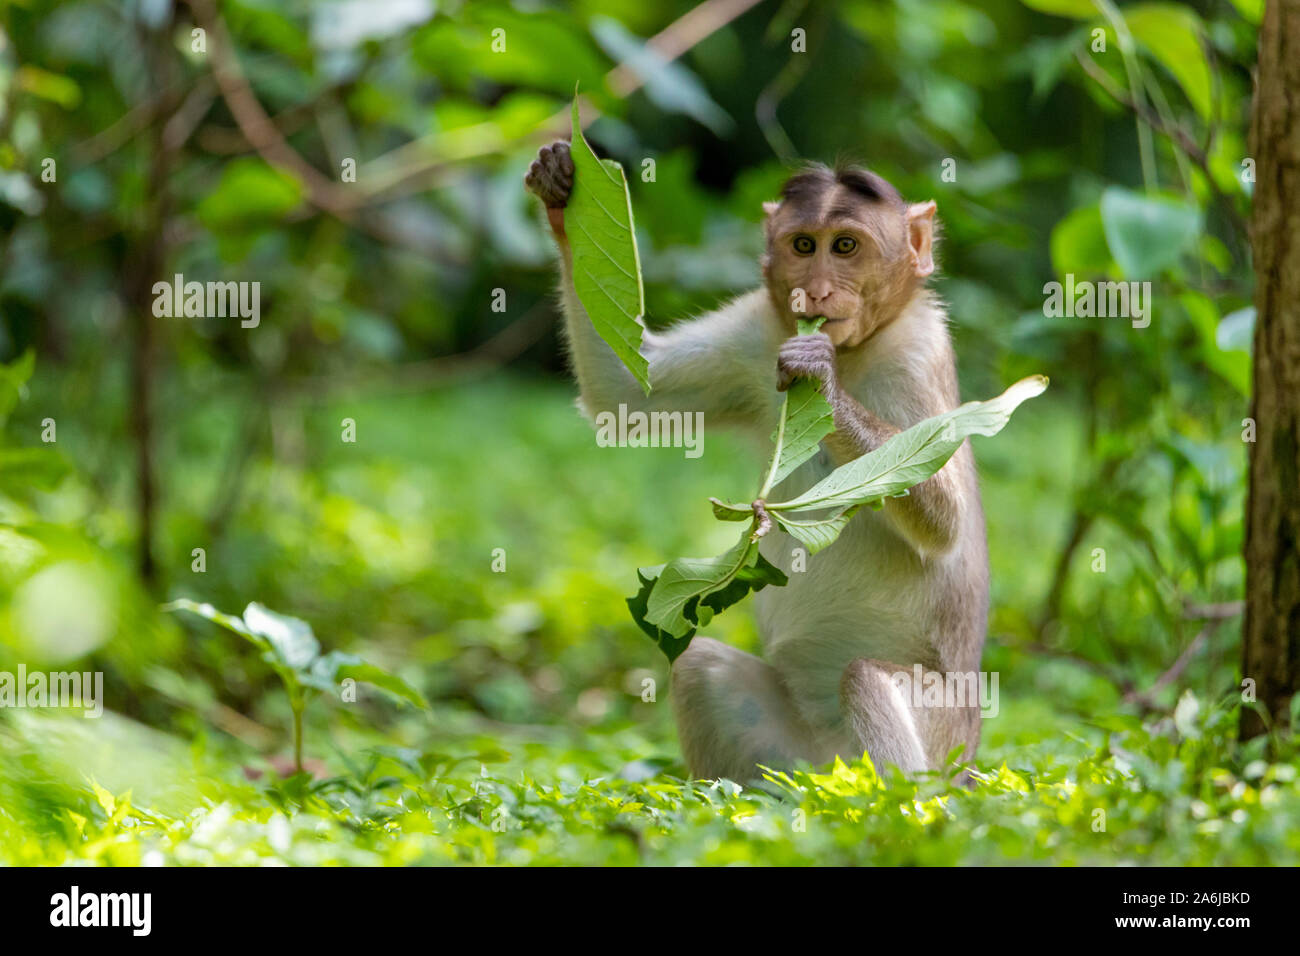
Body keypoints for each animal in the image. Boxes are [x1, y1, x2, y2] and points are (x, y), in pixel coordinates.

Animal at [526, 141, 988, 782]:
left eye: (846, 246)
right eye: (804, 245)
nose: (815, 292)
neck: (857, 349)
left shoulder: (918, 351)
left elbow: (945, 518)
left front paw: (820, 381)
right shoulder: (754, 332)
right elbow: (627, 398)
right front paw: (561, 191)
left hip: (944, 741)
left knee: (865, 680)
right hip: (797, 756)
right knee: (698, 665)